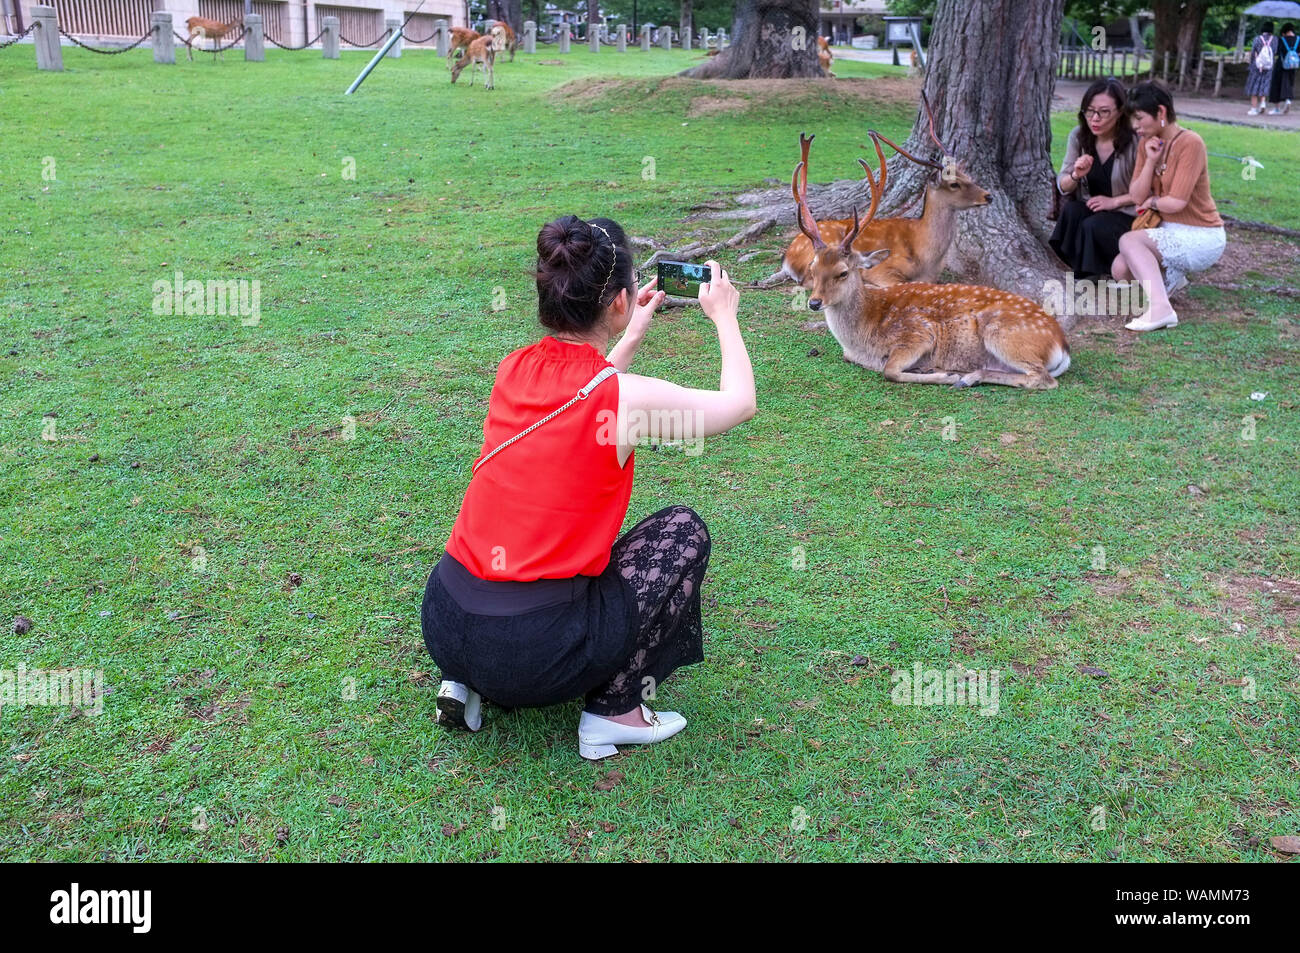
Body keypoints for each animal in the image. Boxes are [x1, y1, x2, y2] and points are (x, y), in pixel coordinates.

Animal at [772, 93, 991, 288]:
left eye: (968, 177)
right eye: (954, 184)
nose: (988, 195)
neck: (926, 258)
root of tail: (788, 254)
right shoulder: (883, 268)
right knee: (807, 280)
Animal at [792, 134, 1071, 389]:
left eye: (843, 272)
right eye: (813, 268)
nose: (814, 302)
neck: (861, 340)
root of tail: (1062, 345)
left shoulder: (918, 333)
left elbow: (889, 370)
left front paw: (943, 374)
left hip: (1003, 334)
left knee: (1043, 379)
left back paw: (962, 377)